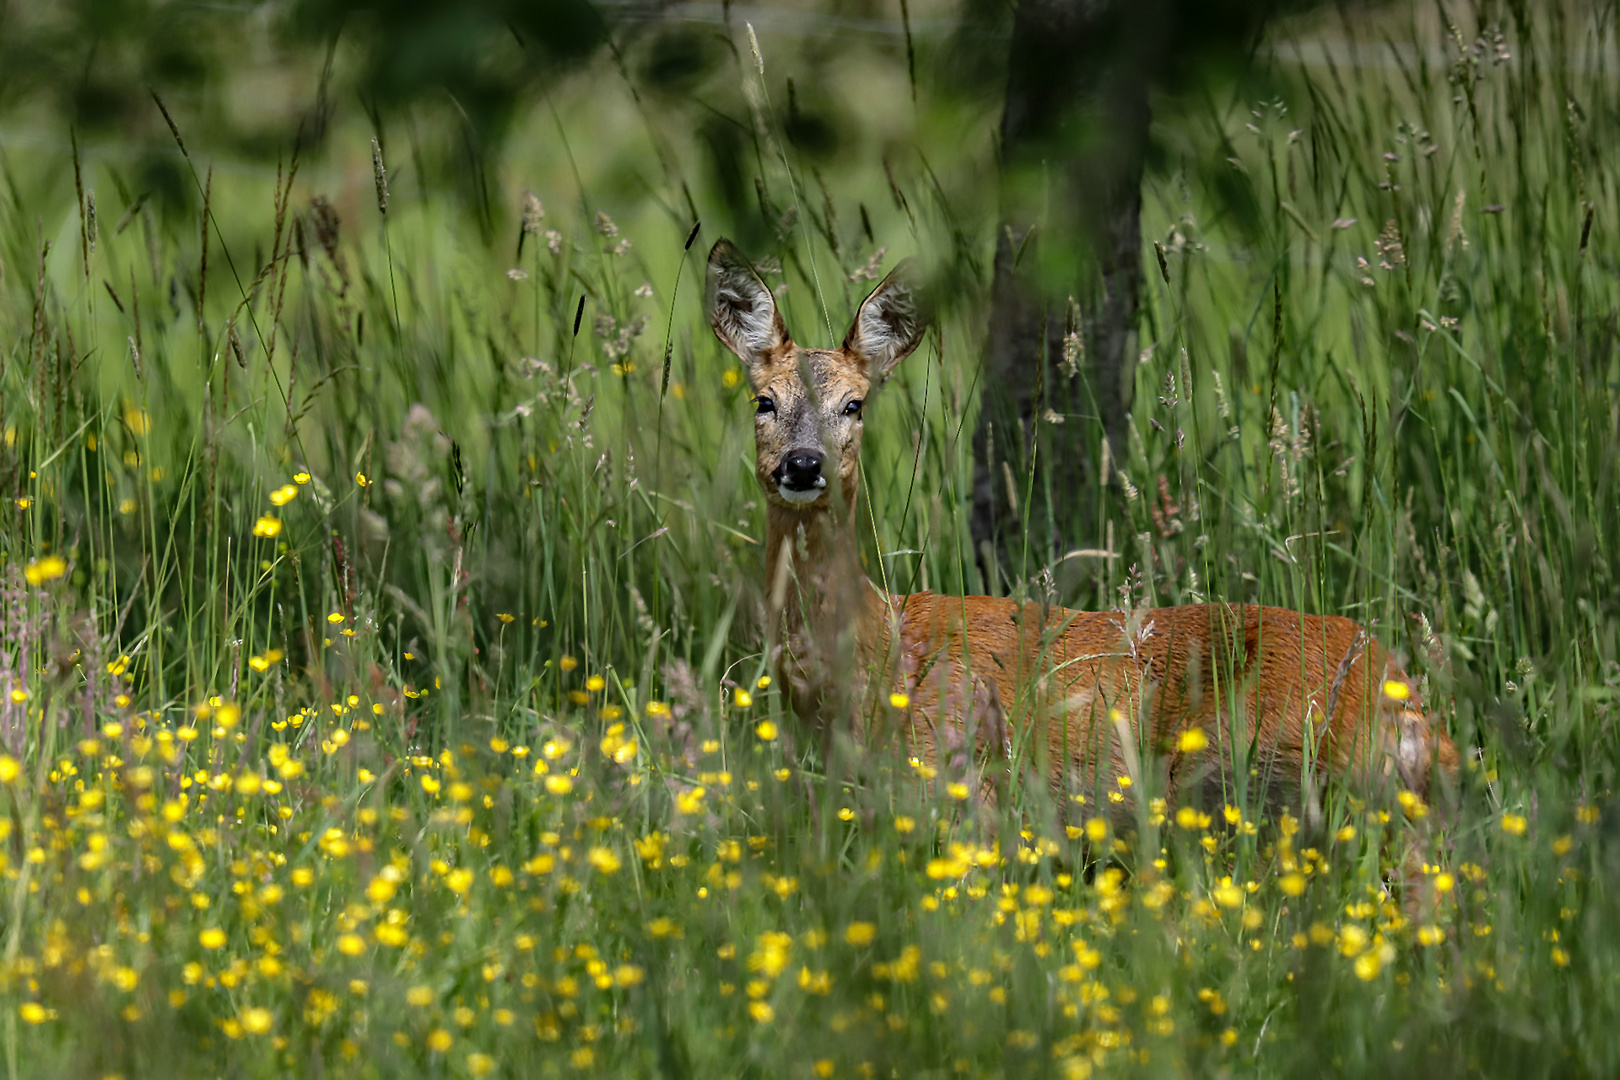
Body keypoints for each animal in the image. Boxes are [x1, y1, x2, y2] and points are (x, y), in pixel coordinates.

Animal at [705, 237, 1459, 827]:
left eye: (853, 405)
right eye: (763, 400)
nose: (803, 465)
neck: (870, 661)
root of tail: (1407, 706)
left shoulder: (955, 777)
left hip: (1257, 777)